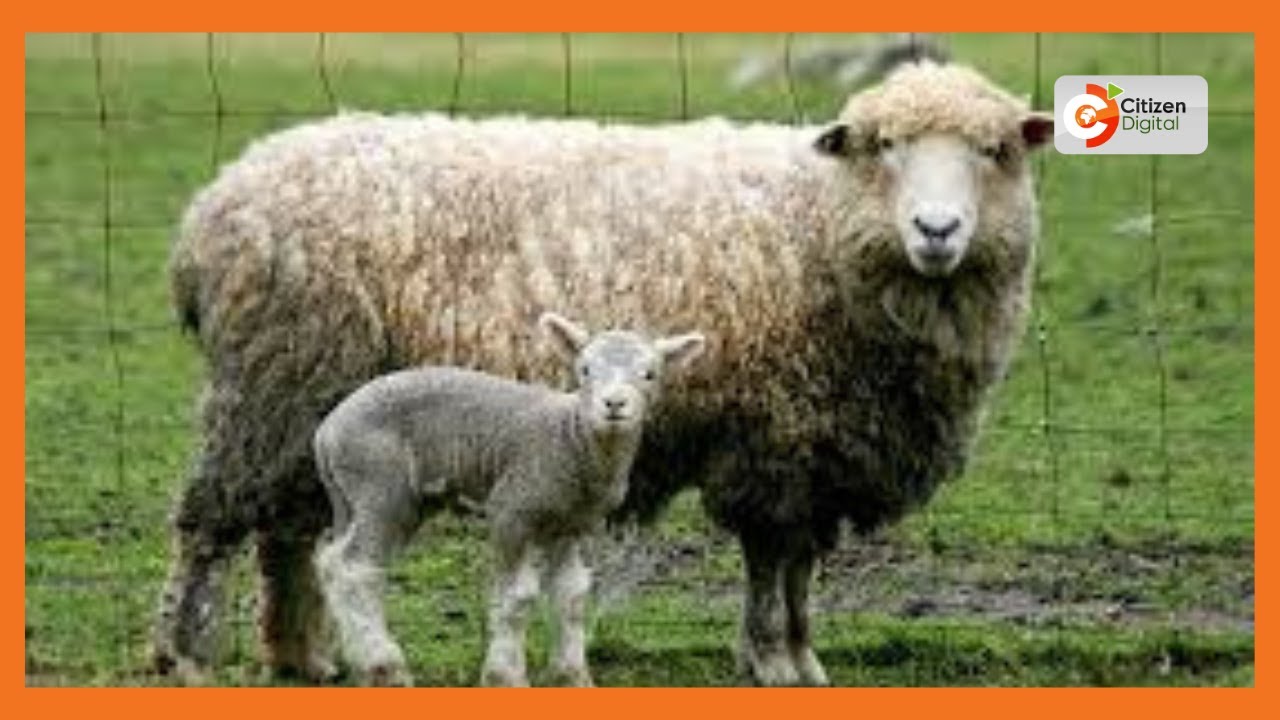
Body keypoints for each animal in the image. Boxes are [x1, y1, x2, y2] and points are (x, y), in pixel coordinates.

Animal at [312, 312, 706, 686]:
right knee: (355, 569)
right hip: (380, 485)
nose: (613, 404)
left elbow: (571, 596)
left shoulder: (575, 524)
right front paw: (506, 676)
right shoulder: (512, 510)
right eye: (584, 369)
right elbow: (516, 597)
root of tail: (327, 430)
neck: (571, 438)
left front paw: (572, 676)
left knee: (335, 563)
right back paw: (384, 667)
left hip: (353, 496)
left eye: (650, 374)